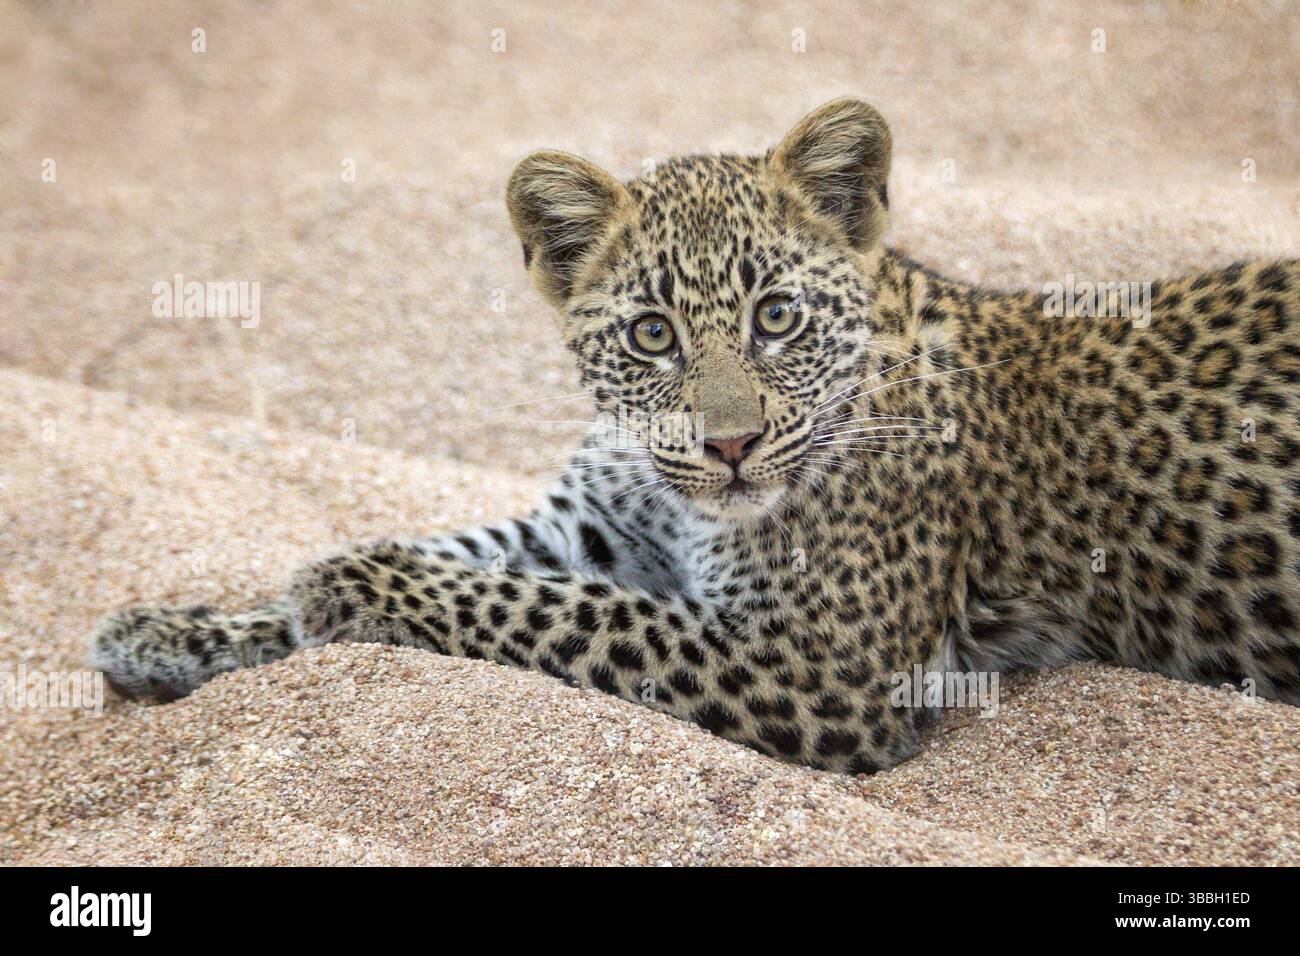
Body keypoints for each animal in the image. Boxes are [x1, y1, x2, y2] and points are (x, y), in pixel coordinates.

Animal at [89, 98, 1300, 774]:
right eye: (652, 333)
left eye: (776, 316)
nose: (729, 448)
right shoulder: (586, 526)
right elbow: (474, 563)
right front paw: (176, 626)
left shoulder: (821, 667)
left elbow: (560, 611)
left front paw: (344, 582)